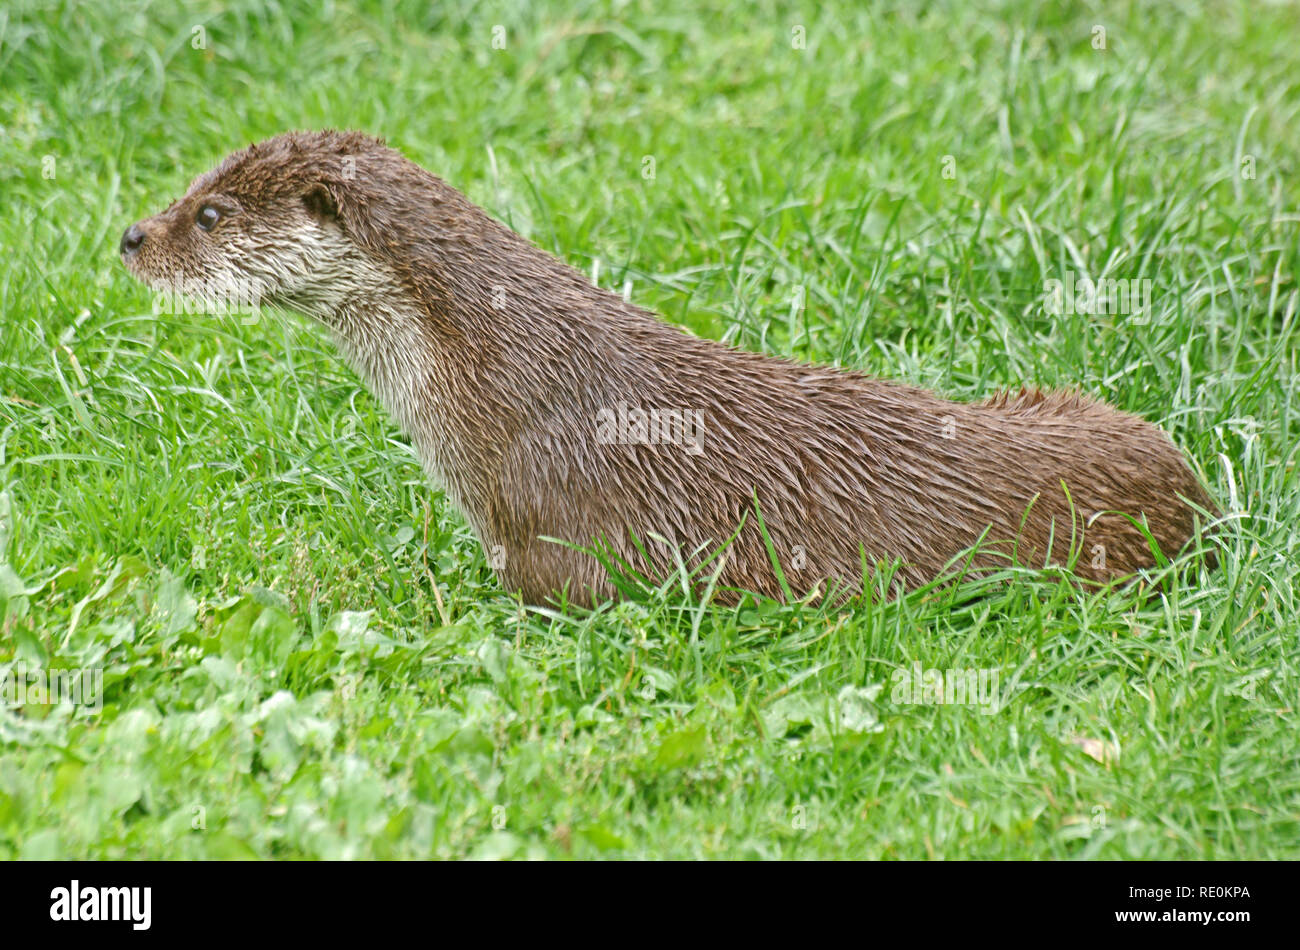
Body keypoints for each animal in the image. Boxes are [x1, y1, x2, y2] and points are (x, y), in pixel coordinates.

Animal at [120, 130, 1216, 606]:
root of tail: (1198, 494)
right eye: (193, 180)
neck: (499, 377)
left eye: (210, 214)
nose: (131, 236)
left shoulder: (557, 540)